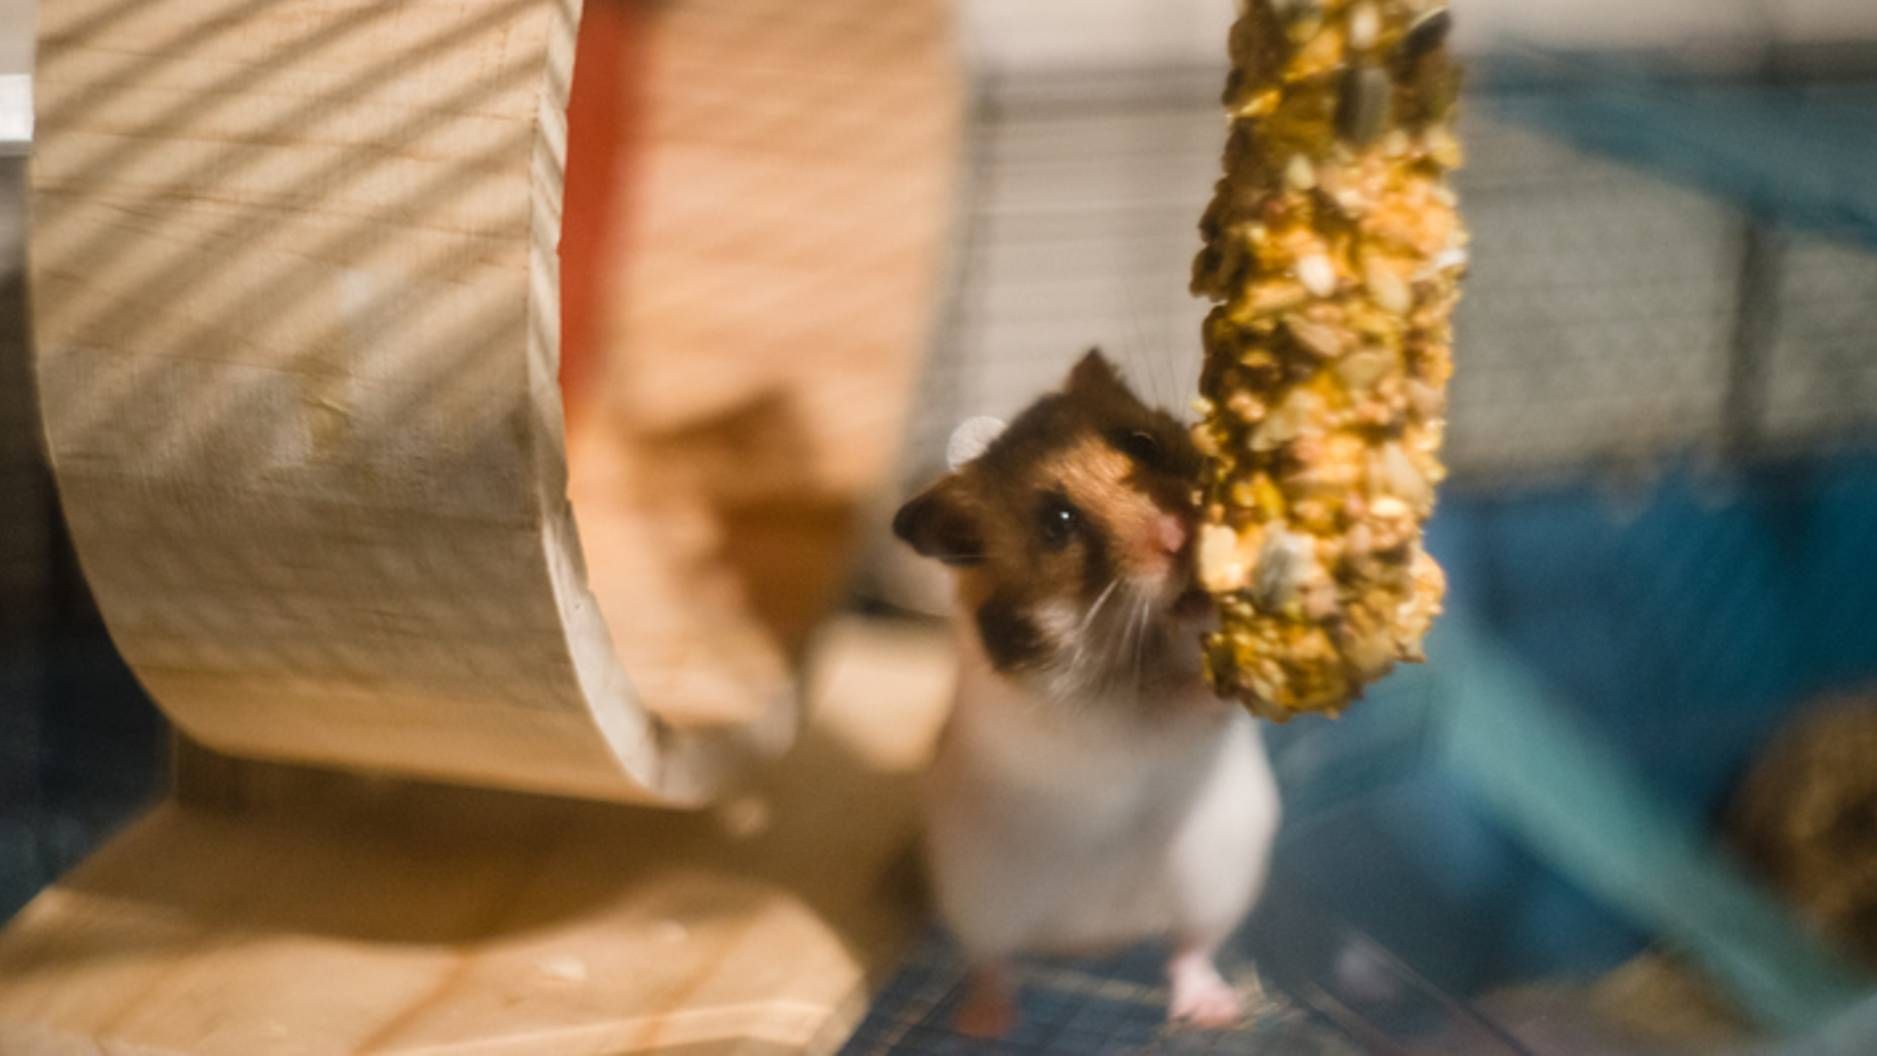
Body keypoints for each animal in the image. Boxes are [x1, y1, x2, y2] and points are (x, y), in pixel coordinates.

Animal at [893, 349, 1280, 1035]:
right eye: (1058, 522)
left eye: (1142, 442)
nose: (1179, 535)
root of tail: (1094, 944)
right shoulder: (1091, 713)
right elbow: (1172, 700)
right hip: (978, 899)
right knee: (991, 961)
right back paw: (985, 1023)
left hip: (1220, 877)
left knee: (1189, 951)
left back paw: (1215, 1011)